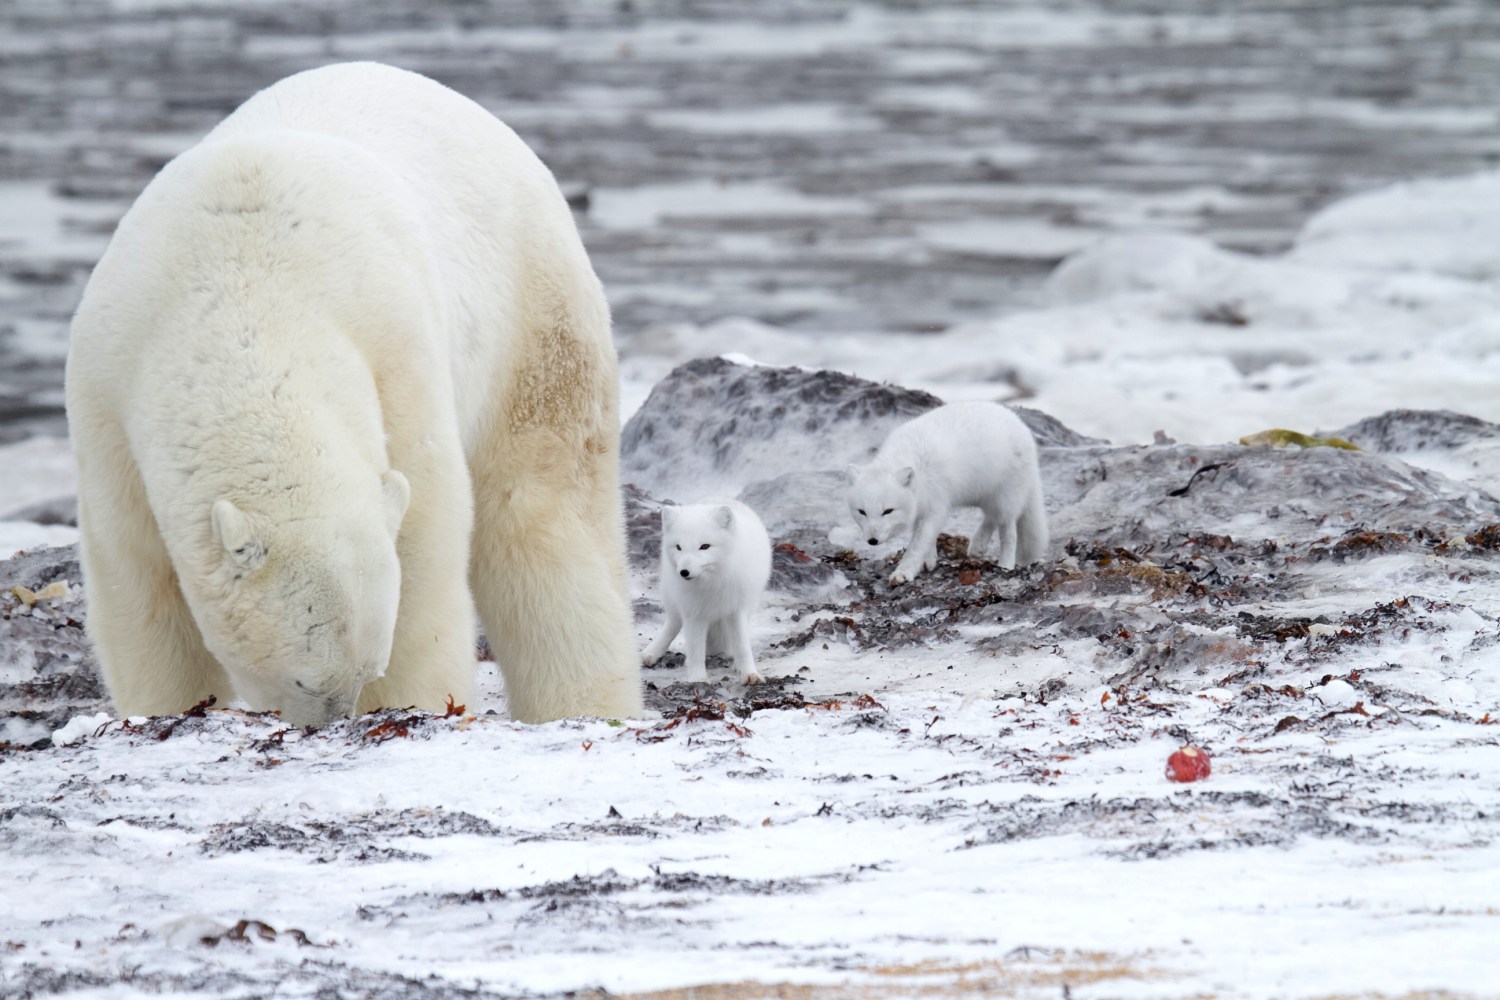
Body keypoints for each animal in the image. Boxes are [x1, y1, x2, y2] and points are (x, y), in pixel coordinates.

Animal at [65, 62, 643, 727]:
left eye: (369, 668)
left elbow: (422, 557)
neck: (242, 296)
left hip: (532, 319)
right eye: (303, 679)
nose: (333, 721)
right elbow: (138, 583)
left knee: (544, 513)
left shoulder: (398, 356)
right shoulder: (112, 392)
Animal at [641, 499, 771, 685]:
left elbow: (742, 646)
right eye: (678, 547)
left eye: (704, 546)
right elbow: (695, 649)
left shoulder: (736, 609)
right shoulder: (693, 613)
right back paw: (651, 652)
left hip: (750, 603)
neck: (711, 583)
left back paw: (736, 665)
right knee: (673, 623)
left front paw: (749, 674)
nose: (684, 572)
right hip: (672, 599)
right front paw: (698, 679)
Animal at [846, 401, 1048, 585]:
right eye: (862, 512)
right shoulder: (925, 508)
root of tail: (1021, 425)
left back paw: (1005, 565)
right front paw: (929, 561)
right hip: (985, 495)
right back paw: (978, 546)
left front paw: (903, 573)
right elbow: (928, 540)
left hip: (1005, 498)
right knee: (991, 518)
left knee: (1008, 532)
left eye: (888, 511)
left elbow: (917, 545)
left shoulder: (935, 507)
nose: (872, 540)